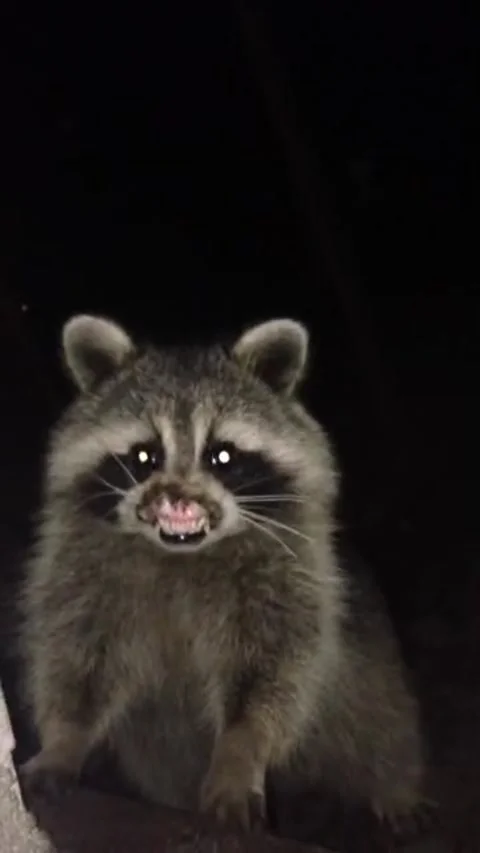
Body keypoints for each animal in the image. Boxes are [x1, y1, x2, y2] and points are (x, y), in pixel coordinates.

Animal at [19, 315, 425, 831]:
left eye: (223, 456)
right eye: (145, 456)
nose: (177, 499)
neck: (182, 553)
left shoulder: (290, 577)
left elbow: (269, 678)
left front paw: (238, 756)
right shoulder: (82, 572)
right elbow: (77, 665)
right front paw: (63, 742)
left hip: (371, 659)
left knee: (382, 722)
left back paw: (395, 787)